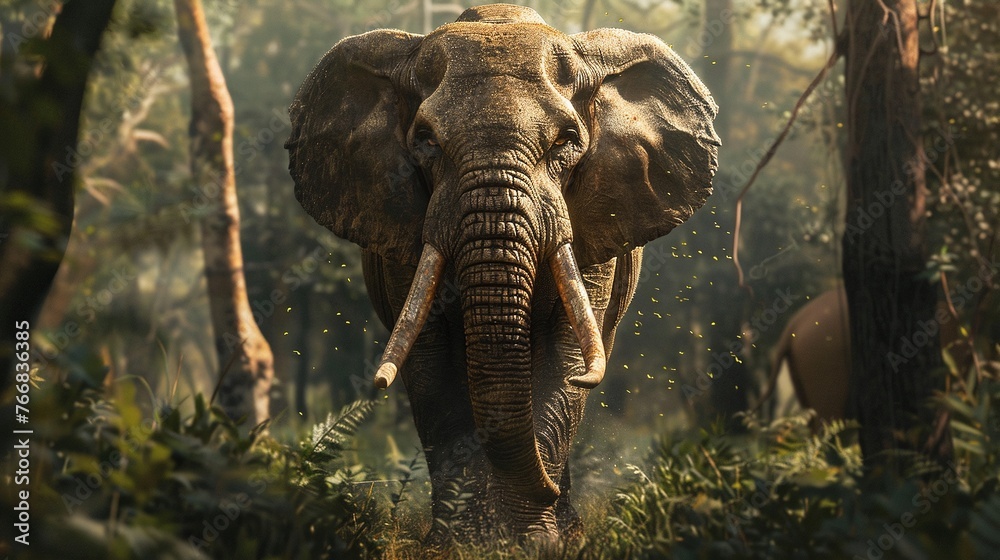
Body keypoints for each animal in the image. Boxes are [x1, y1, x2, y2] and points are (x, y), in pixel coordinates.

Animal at [285, 4, 719, 547]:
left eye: (566, 141)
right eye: (425, 142)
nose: (547, 490)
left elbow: (564, 360)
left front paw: (537, 541)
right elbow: (430, 366)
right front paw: (461, 542)